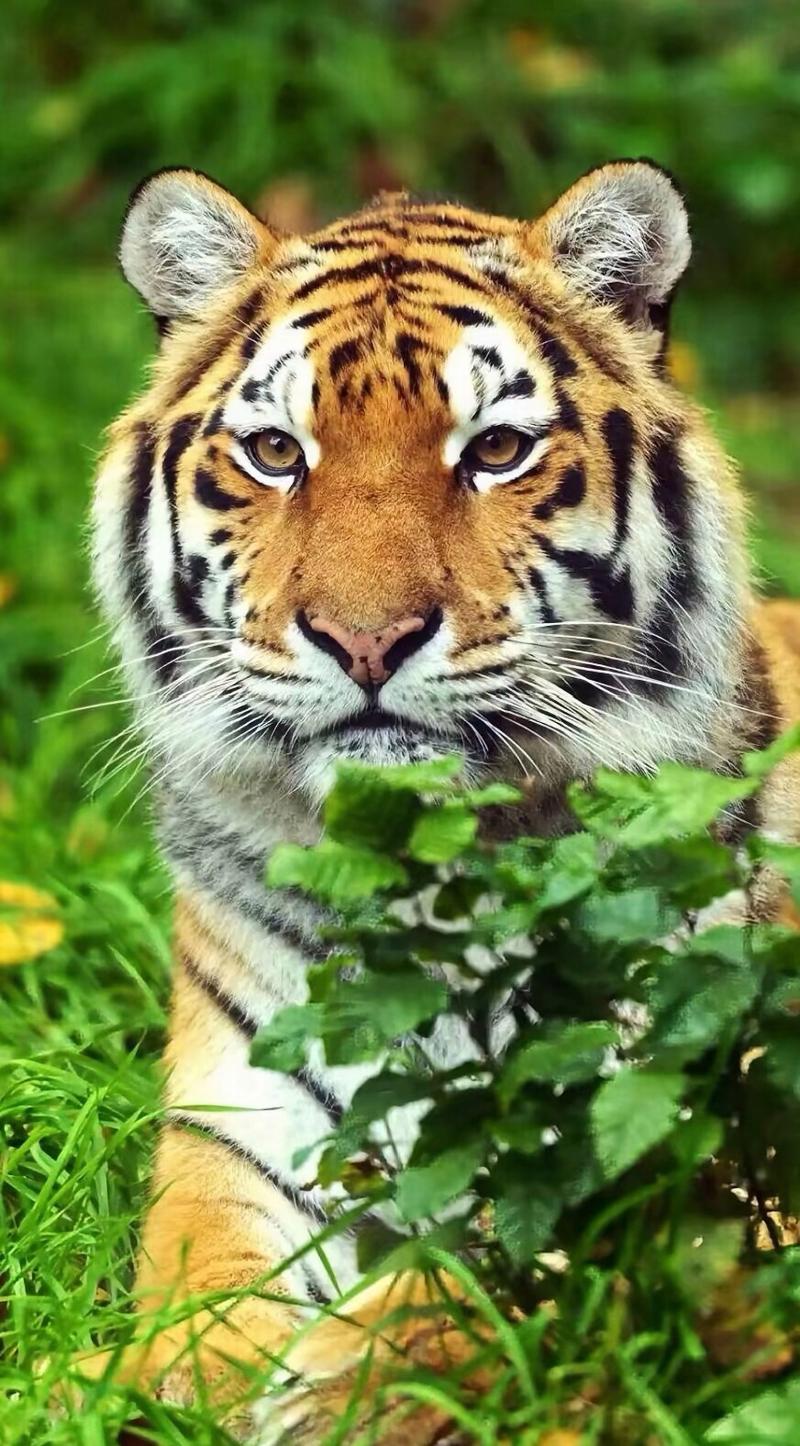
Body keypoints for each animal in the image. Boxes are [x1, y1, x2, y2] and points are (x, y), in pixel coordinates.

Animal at [84, 159, 800, 1441]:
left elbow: (511, 1245)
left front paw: (340, 1377)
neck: (419, 879)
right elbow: (198, 1281)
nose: (365, 639)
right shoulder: (231, 1131)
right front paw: (184, 1379)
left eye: (497, 448)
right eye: (275, 452)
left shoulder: (702, 1131)